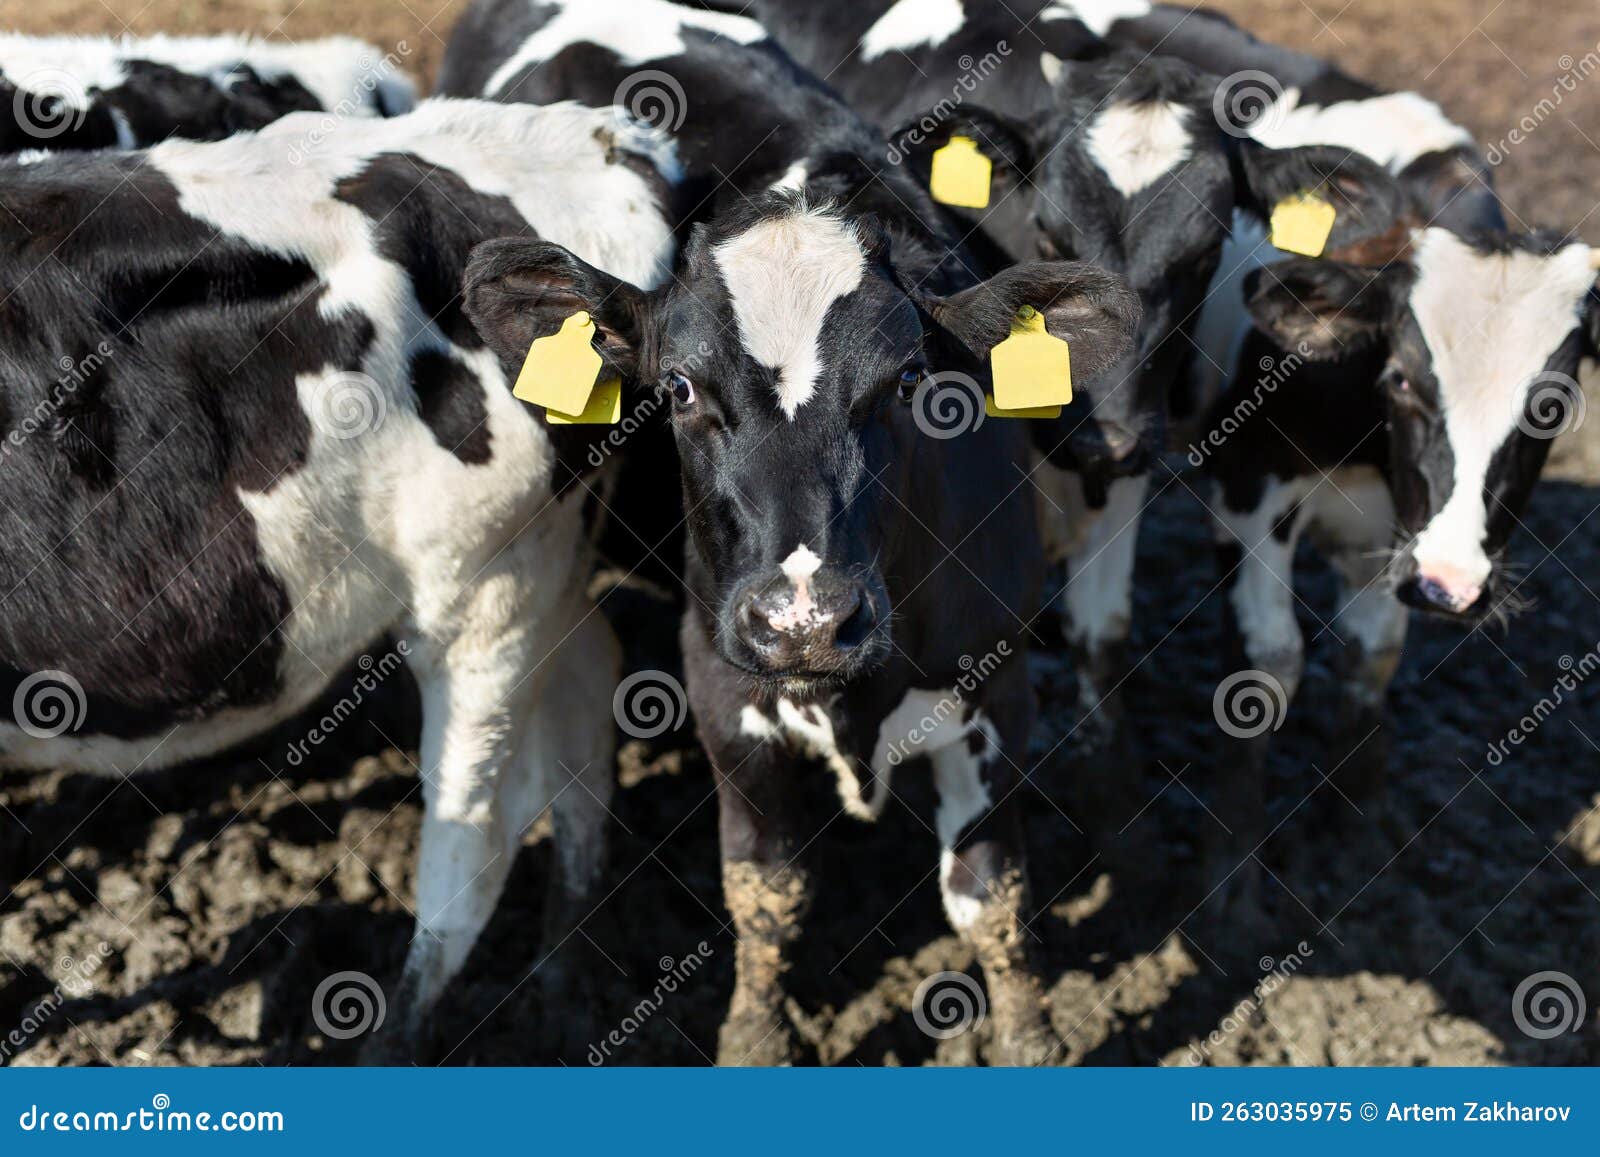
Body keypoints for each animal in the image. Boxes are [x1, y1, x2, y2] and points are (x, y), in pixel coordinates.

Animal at [0, 96, 682, 1060]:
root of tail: (600, 133)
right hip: (547, 564)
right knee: (588, 692)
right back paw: (563, 986)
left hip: (485, 589)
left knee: (472, 845)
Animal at [441, 0, 1141, 1064]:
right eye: (681, 388)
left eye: (908, 379)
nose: (806, 620)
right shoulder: (722, 688)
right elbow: (768, 897)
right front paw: (756, 1038)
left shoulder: (998, 677)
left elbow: (992, 900)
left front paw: (1028, 1037)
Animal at [730, 0, 1405, 838]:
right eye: (1050, 235)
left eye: (1205, 252)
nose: (1093, 436)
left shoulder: (1128, 456)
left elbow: (1102, 628)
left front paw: (1110, 798)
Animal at [1090, 2, 1600, 914]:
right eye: (1400, 377)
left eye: (1556, 403)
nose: (1452, 585)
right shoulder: (1249, 483)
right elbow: (1269, 663)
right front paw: (1233, 875)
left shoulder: (1394, 522)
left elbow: (1373, 656)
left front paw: (1358, 845)